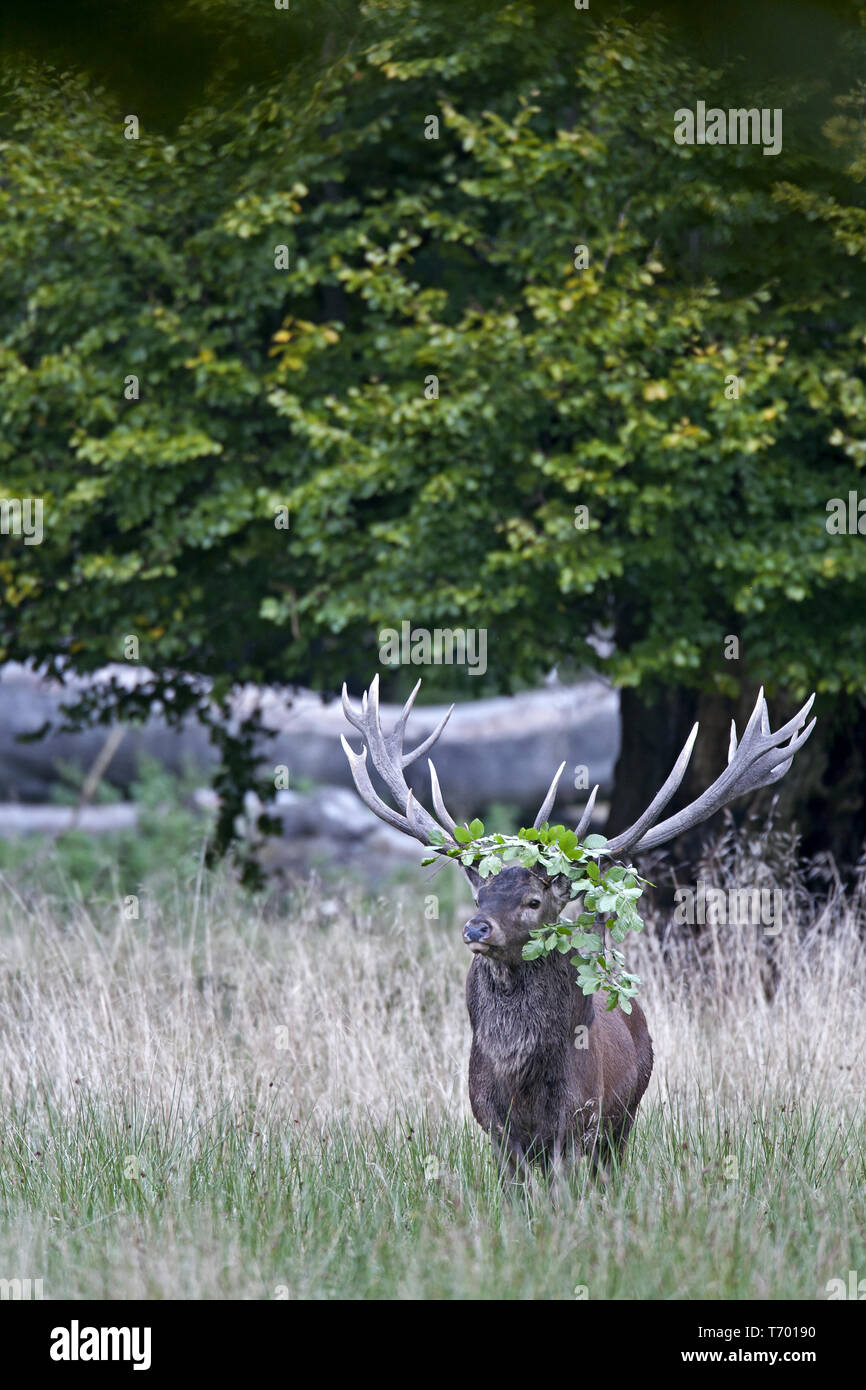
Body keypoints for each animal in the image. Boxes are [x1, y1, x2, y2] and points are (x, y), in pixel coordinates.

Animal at [340, 675, 816, 1185]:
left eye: (533, 902)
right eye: (479, 896)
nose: (476, 928)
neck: (517, 1076)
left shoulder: (577, 1119)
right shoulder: (492, 1124)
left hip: (625, 1116)